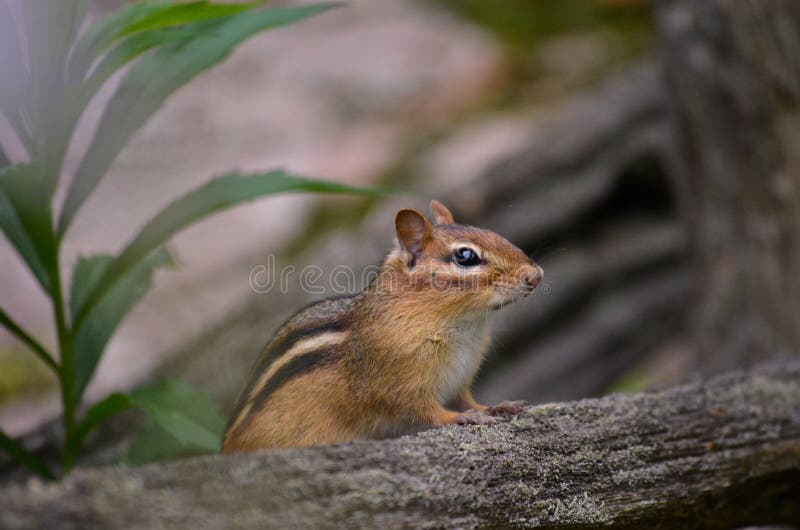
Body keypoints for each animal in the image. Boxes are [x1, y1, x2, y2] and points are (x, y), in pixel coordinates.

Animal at [222, 200, 543, 452]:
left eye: (490, 232)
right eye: (465, 256)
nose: (535, 275)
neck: (464, 325)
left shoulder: (460, 378)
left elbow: (466, 399)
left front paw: (494, 406)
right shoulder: (397, 384)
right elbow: (425, 411)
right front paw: (462, 418)